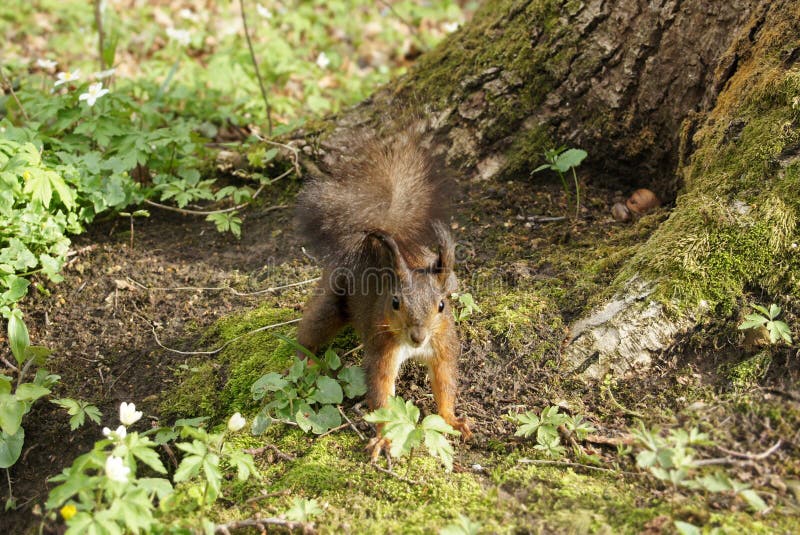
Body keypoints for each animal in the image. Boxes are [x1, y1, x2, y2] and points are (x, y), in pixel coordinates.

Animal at [296, 129, 472, 458]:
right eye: (395, 303)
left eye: (442, 305)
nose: (418, 337)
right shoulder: (383, 347)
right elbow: (381, 391)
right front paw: (384, 437)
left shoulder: (443, 345)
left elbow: (445, 381)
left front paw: (451, 419)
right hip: (334, 300)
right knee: (311, 329)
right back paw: (307, 358)